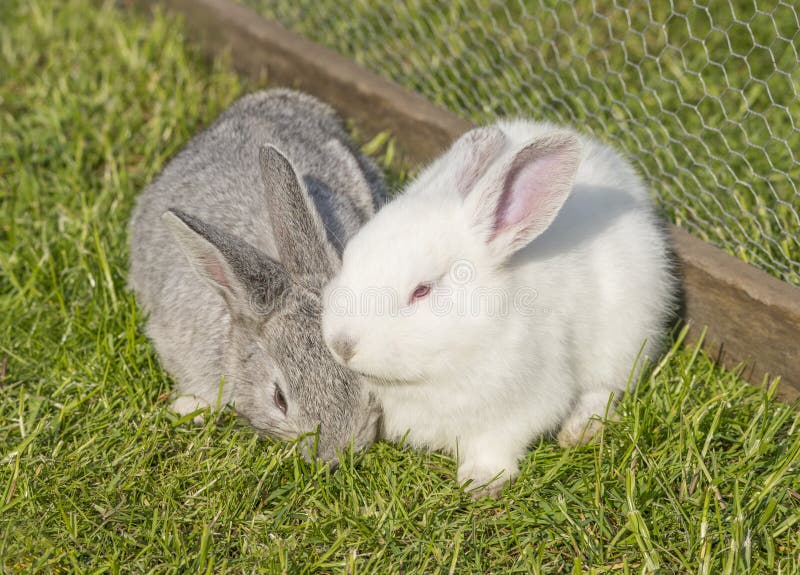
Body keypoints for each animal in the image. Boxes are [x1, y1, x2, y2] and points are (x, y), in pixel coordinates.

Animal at [321, 119, 676, 495]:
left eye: (422, 291)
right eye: (349, 257)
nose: (341, 345)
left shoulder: (522, 407)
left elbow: (495, 445)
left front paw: (480, 481)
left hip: (623, 341)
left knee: (603, 390)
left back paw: (579, 430)